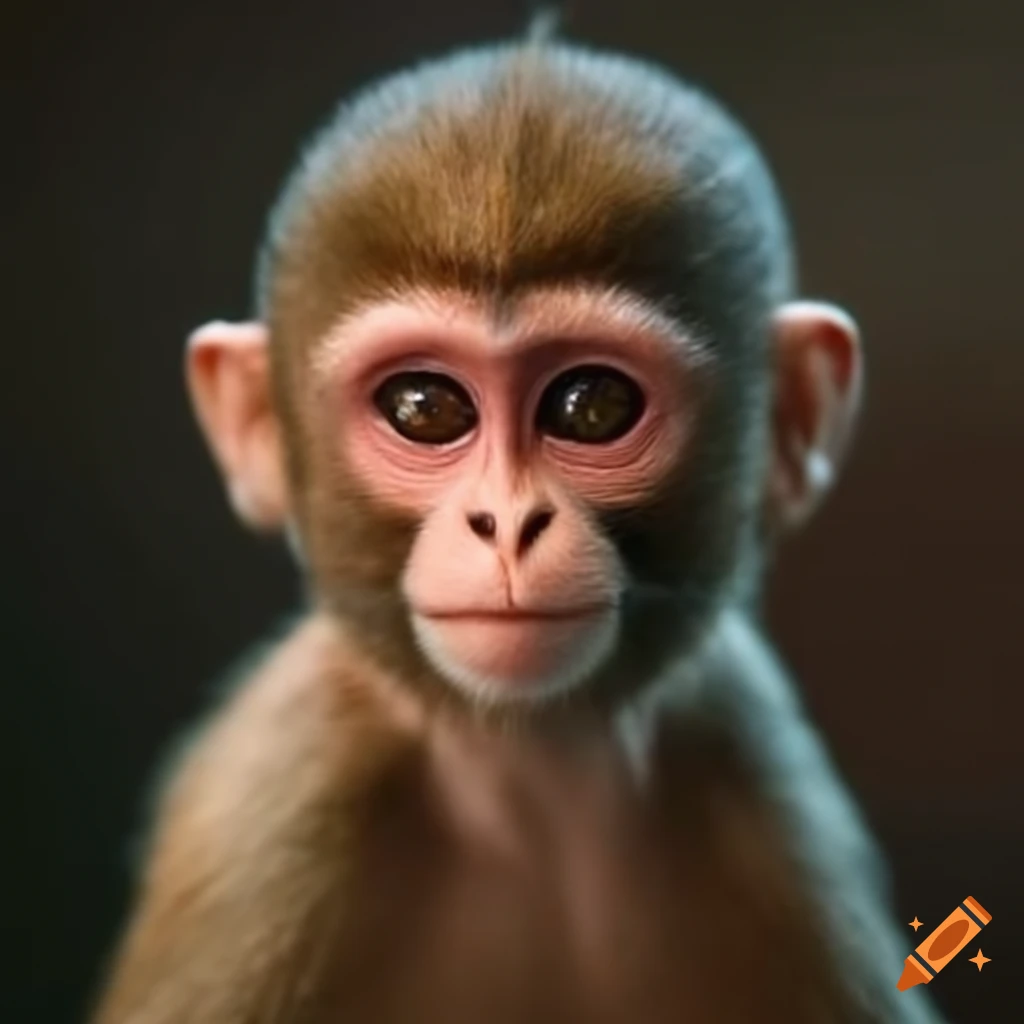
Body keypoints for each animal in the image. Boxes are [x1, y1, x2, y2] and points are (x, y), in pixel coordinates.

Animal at [89, 30, 945, 1024]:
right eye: (425, 407)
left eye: (592, 404)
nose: (506, 524)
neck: (532, 792)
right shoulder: (273, 805)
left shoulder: (764, 777)